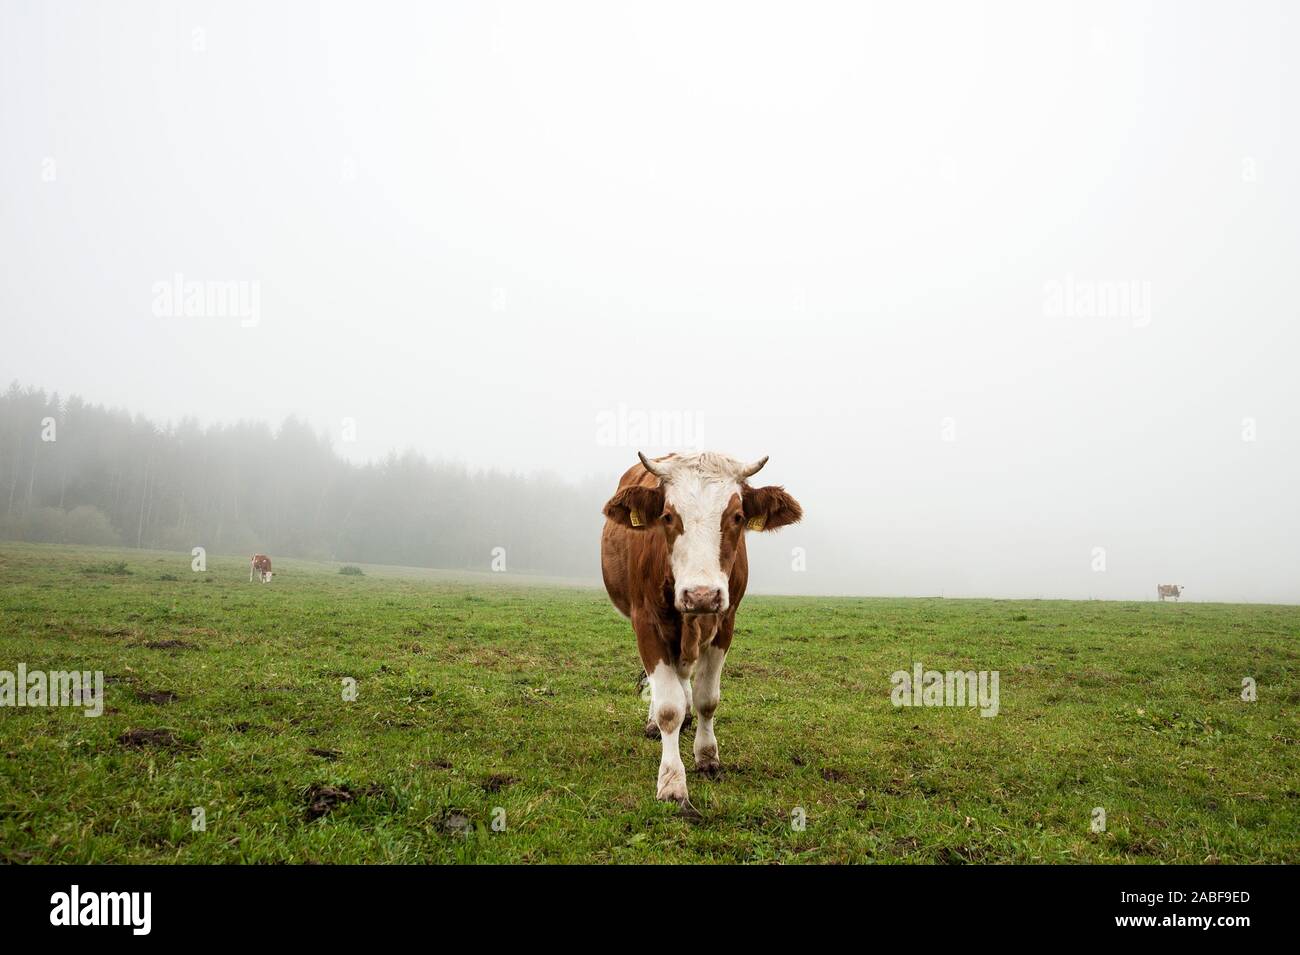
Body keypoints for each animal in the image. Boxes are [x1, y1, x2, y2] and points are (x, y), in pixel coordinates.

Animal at [601, 451, 802, 810]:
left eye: (737, 516)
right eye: (668, 516)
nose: (701, 595)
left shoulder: (726, 621)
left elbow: (707, 698)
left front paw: (707, 756)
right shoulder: (646, 622)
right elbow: (668, 706)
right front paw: (671, 781)